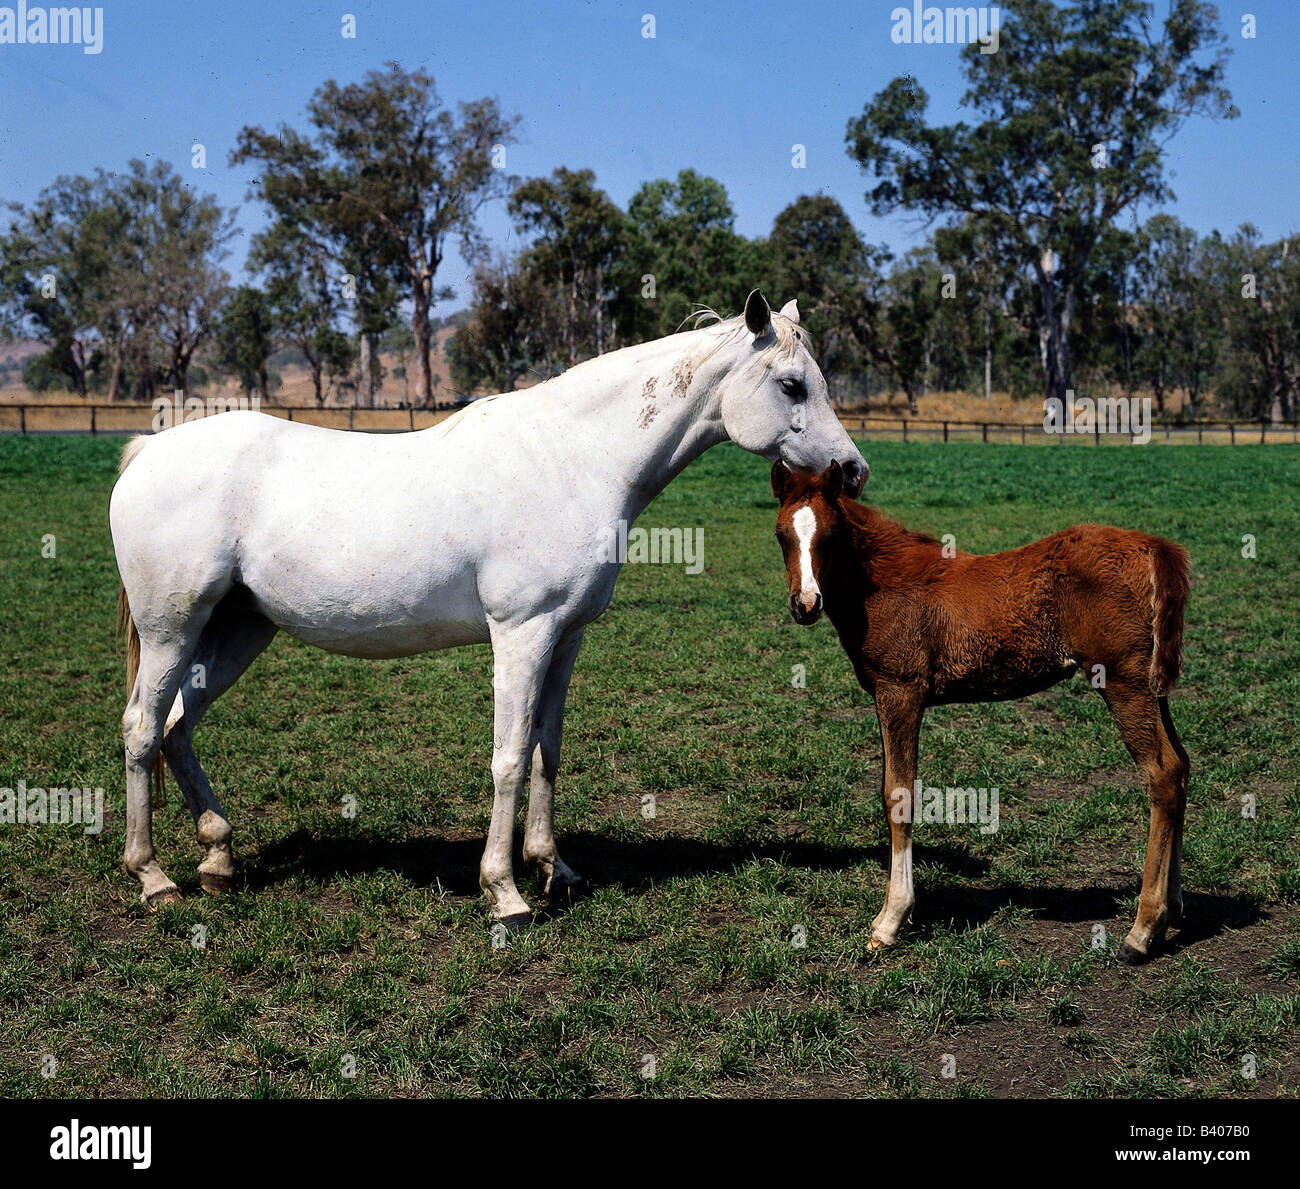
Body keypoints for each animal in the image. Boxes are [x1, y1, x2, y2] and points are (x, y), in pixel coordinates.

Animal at [110, 291, 869, 923]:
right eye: (793, 383)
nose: (854, 471)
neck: (573, 461)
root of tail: (148, 452)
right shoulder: (521, 635)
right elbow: (507, 756)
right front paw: (504, 890)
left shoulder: (566, 637)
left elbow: (545, 750)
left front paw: (555, 869)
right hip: (172, 628)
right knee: (143, 729)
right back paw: (153, 878)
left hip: (238, 629)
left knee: (177, 727)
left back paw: (218, 856)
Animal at [771, 461, 1191, 964]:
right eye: (781, 536)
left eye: (830, 536)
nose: (805, 604)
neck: (885, 582)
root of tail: (1151, 545)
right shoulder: (885, 697)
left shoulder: (900, 693)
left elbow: (899, 795)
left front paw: (891, 921)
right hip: (1152, 687)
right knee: (1181, 767)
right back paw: (1173, 911)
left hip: (1124, 681)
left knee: (1161, 774)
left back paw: (1141, 931)